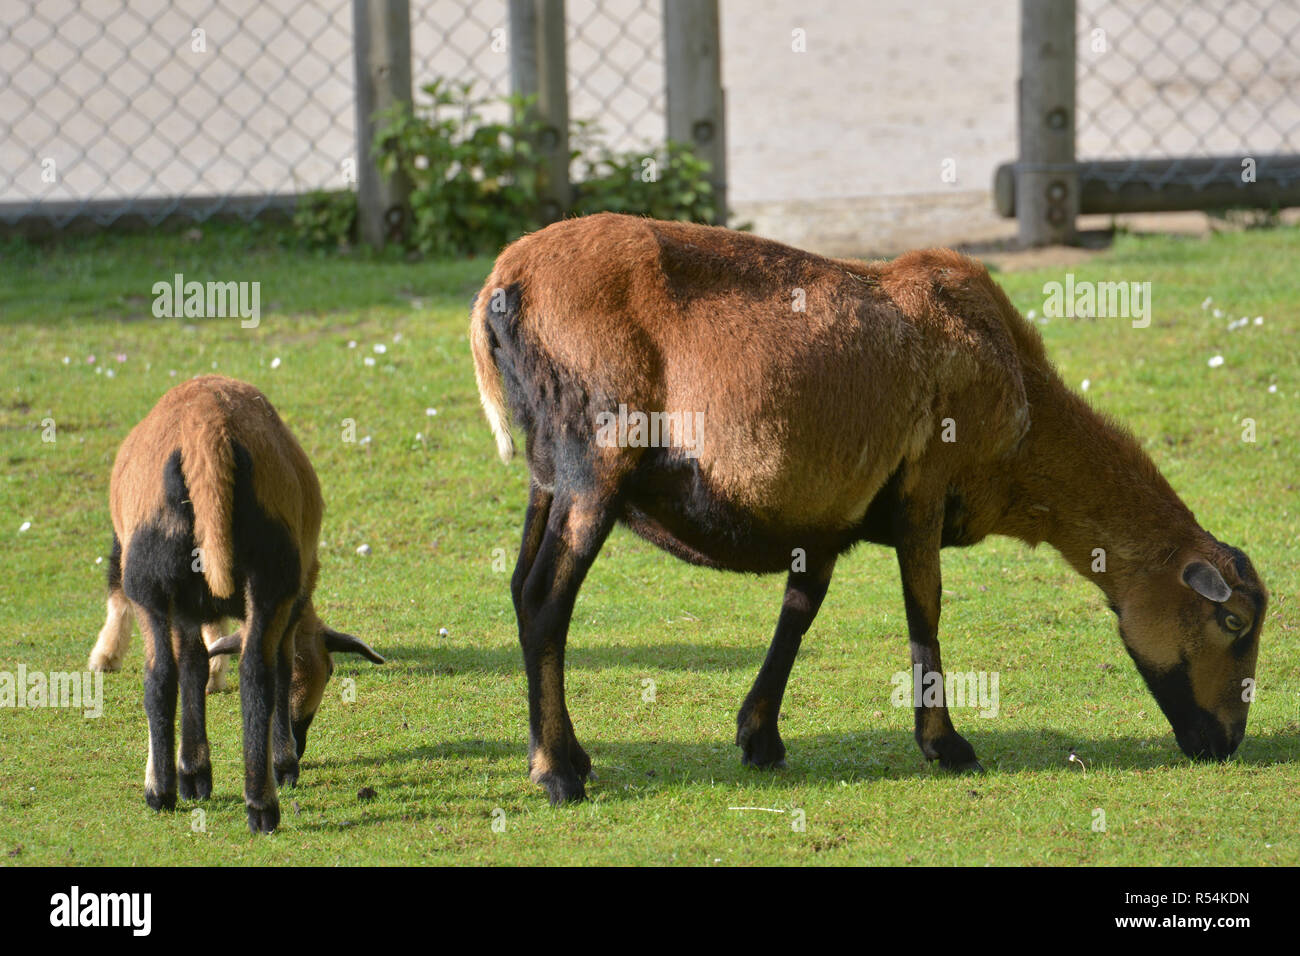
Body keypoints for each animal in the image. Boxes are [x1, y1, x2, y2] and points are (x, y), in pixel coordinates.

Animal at [90, 375, 383, 833]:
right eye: (333, 670)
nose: (299, 744)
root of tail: (204, 433)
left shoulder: (191, 608)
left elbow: (192, 667)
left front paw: (194, 773)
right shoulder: (286, 604)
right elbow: (259, 667)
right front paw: (273, 764)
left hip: (151, 580)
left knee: (163, 677)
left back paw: (167, 793)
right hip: (266, 579)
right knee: (256, 674)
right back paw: (260, 801)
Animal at [470, 212, 1268, 805]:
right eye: (1232, 622)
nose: (1226, 745)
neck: (1025, 423)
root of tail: (504, 280)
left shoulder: (824, 514)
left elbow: (799, 613)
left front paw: (759, 737)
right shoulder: (923, 491)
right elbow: (926, 610)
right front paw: (947, 745)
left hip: (550, 474)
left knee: (518, 590)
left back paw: (571, 754)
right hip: (596, 459)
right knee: (545, 600)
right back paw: (558, 774)